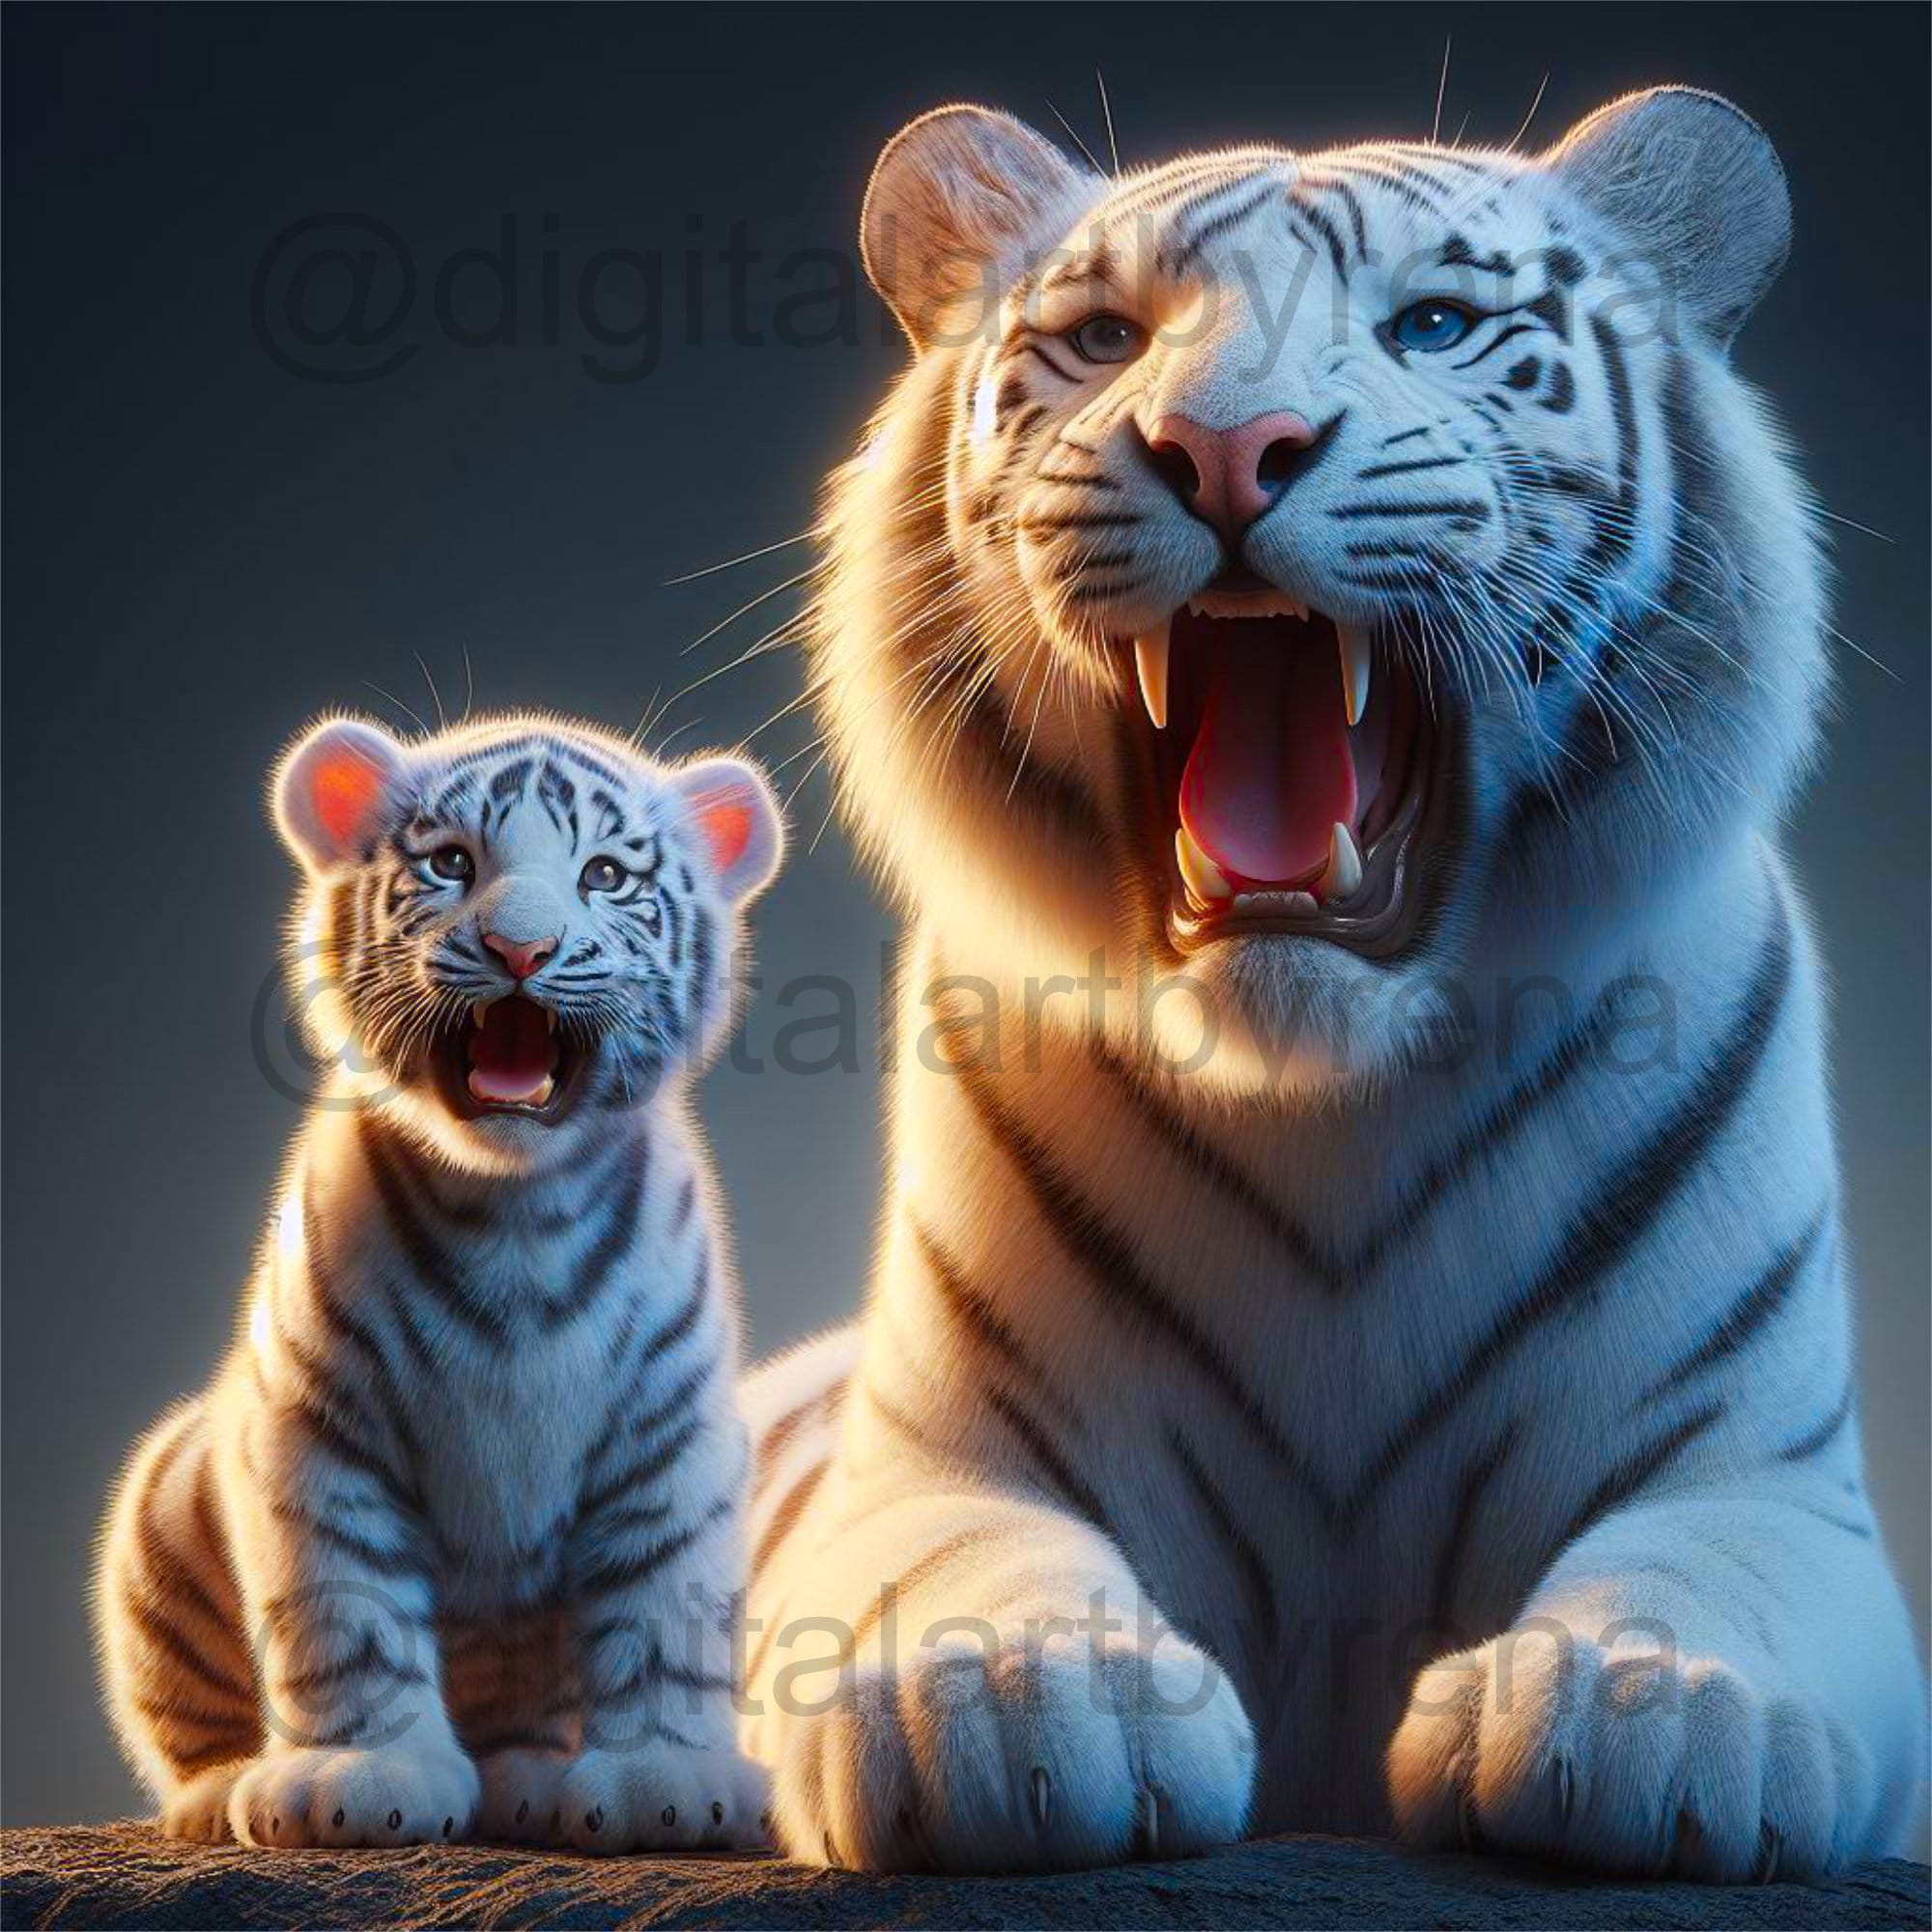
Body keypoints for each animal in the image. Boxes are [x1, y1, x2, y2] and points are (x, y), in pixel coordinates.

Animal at [93, 710, 781, 1852]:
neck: (514, 1212)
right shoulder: (316, 1427)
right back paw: (219, 1793)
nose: (521, 948)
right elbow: (349, 1619)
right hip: (163, 1500)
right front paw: (360, 1780)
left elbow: (662, 1610)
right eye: (451, 863)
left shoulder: (672, 1433)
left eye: (604, 874)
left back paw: (531, 1779)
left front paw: (667, 1783)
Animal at [737, 88, 1927, 1880]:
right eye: (1104, 338)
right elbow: (951, 1565)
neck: (1324, 1091)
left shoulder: (1763, 1476)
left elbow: (1708, 1577)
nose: (1228, 448)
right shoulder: (932, 1459)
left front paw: (1639, 1713)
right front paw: (1018, 1702)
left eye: (1432, 324)